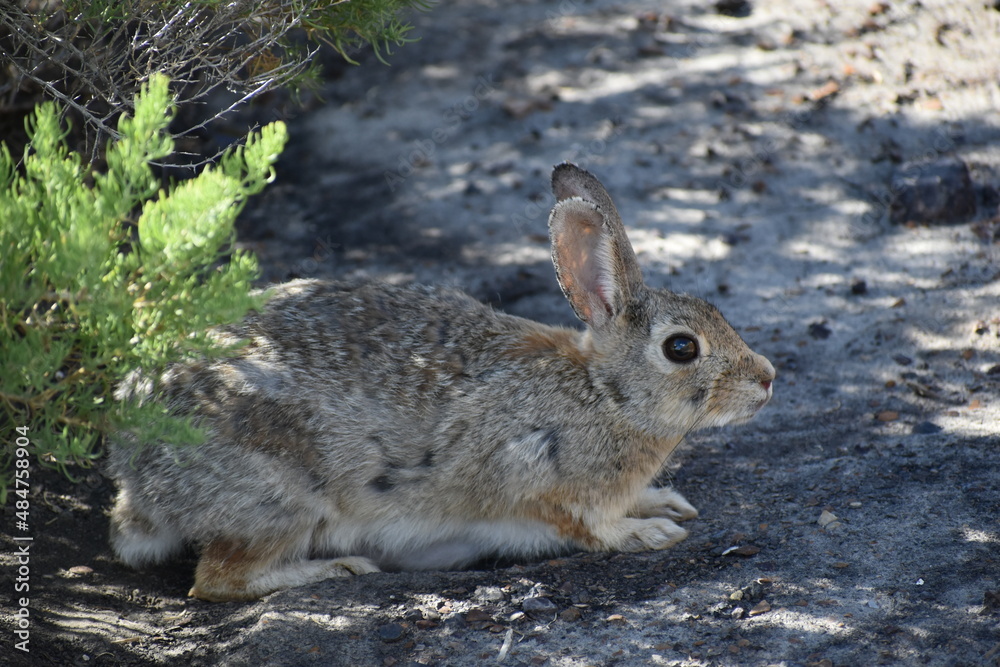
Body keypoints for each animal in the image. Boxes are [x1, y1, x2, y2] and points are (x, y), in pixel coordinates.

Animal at [108, 163, 775, 602]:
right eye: (682, 348)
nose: (767, 379)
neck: (605, 395)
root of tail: (139, 476)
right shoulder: (542, 477)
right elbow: (593, 529)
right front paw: (651, 532)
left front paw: (665, 502)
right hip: (280, 501)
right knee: (218, 582)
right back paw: (336, 570)